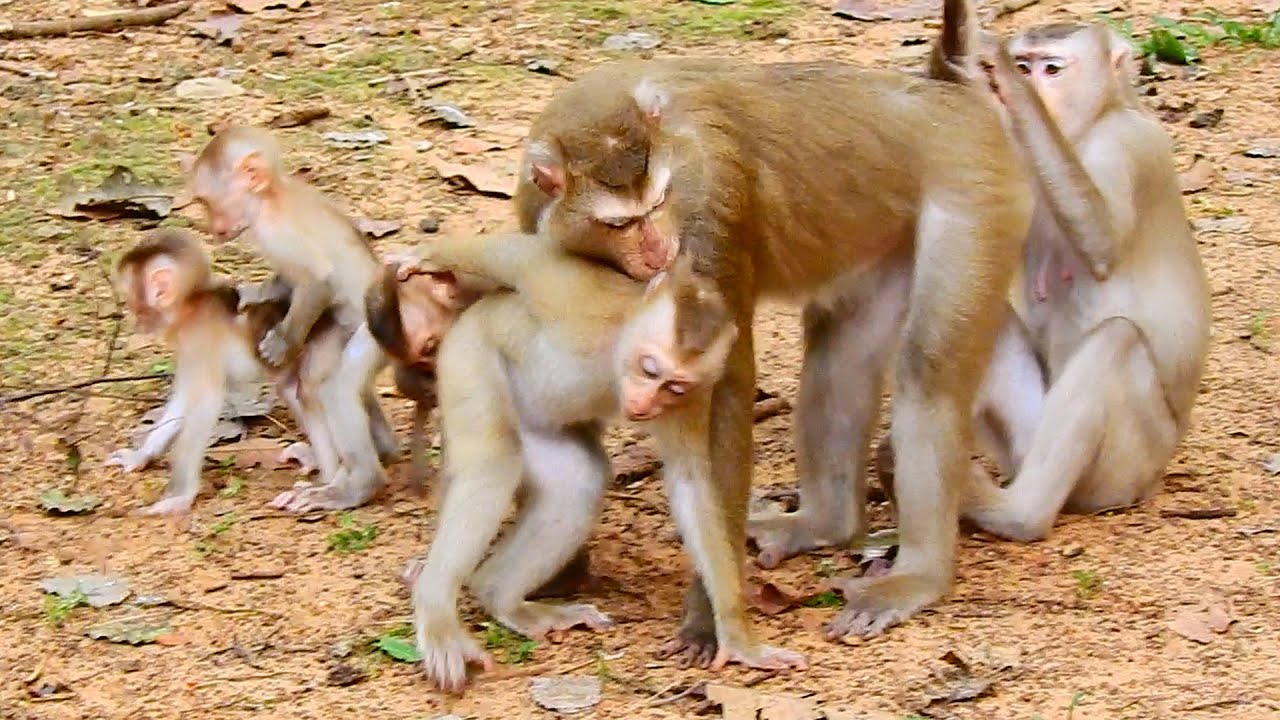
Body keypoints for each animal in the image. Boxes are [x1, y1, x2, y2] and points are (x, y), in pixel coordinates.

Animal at [106, 229, 355, 515]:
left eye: (129, 299)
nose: (134, 321)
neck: (190, 307)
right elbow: (183, 402)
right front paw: (139, 457)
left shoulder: (198, 336)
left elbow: (206, 403)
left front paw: (179, 496)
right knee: (292, 388)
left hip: (331, 343)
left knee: (311, 391)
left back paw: (333, 481)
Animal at [182, 126, 397, 512]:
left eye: (206, 201)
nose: (210, 227)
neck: (270, 196)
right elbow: (290, 279)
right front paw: (257, 293)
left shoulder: (276, 230)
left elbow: (317, 279)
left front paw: (282, 343)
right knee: (318, 385)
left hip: (375, 335)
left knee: (334, 386)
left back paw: (359, 485)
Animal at [396, 233, 744, 690]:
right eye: (650, 369)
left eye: (673, 386)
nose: (643, 404)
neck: (616, 352)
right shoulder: (573, 298)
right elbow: (520, 259)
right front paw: (425, 256)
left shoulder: (695, 397)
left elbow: (690, 482)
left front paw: (737, 634)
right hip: (468, 357)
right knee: (493, 466)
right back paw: (437, 609)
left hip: (537, 425)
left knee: (578, 481)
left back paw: (500, 598)